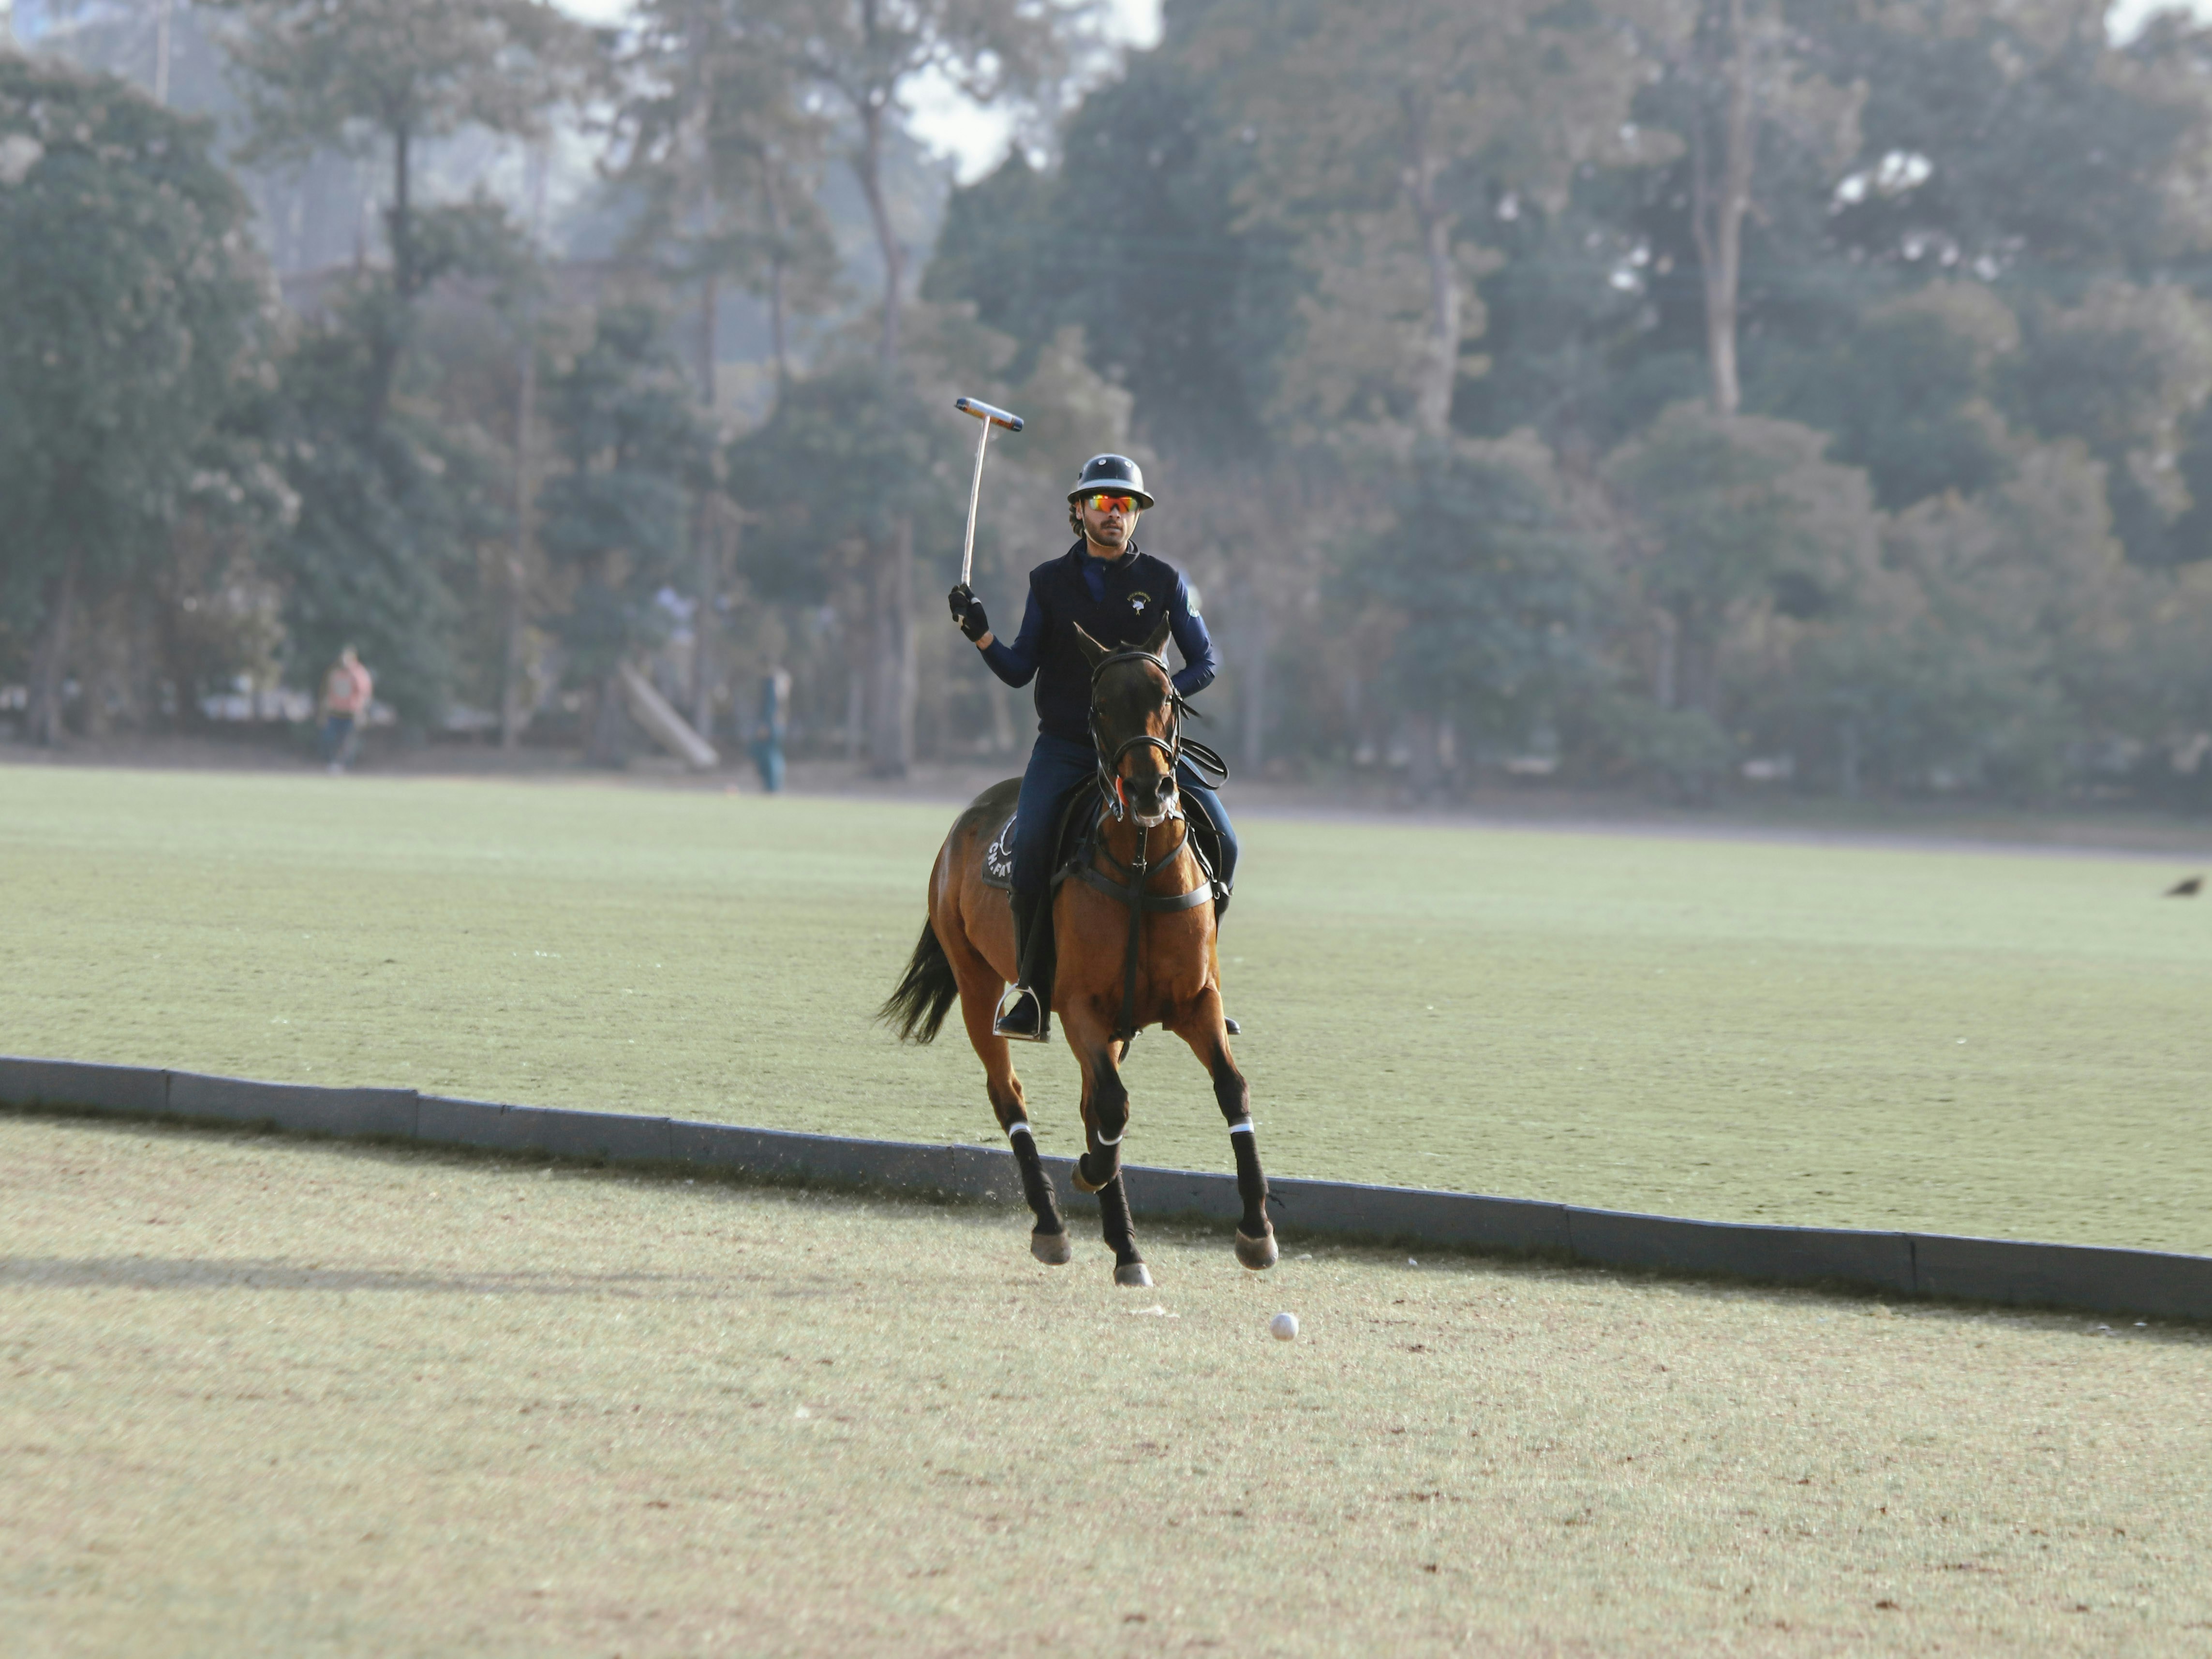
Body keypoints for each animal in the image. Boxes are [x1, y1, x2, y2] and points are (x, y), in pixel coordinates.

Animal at [878, 612, 1277, 1287]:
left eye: (1167, 698)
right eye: (1099, 704)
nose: (1148, 789)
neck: (1142, 868)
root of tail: (962, 822)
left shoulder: (1195, 1002)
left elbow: (1230, 1088)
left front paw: (1256, 1231)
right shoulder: (1079, 1008)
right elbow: (1111, 1109)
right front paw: (1097, 1185)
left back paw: (1116, 1231)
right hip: (977, 983)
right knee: (1010, 1095)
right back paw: (1053, 1226)